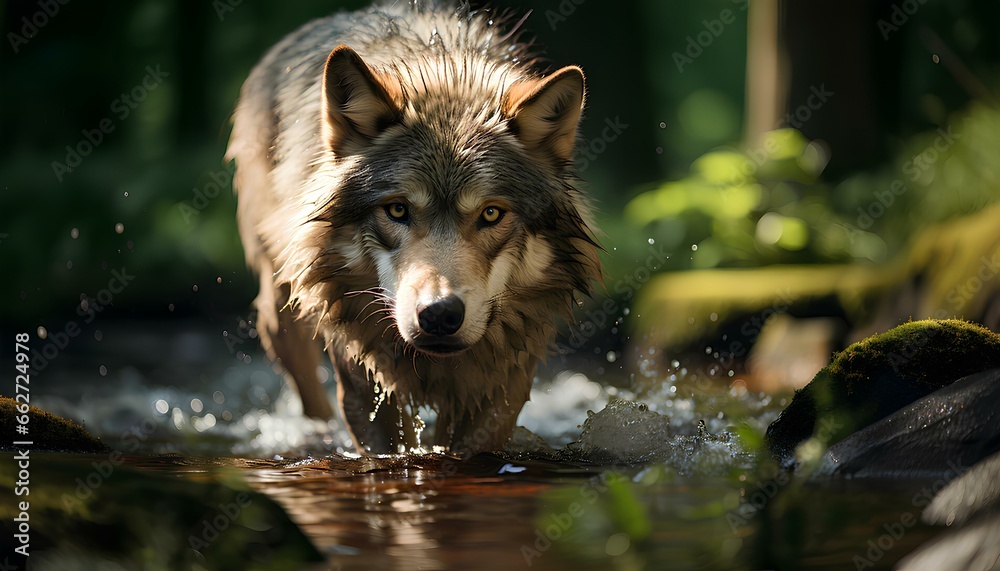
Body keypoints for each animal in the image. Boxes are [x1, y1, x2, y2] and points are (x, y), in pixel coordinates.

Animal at [226, 0, 601, 455]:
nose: (439, 314)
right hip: (286, 290)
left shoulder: (503, 381)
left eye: (491, 214)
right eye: (398, 209)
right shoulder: (362, 377)